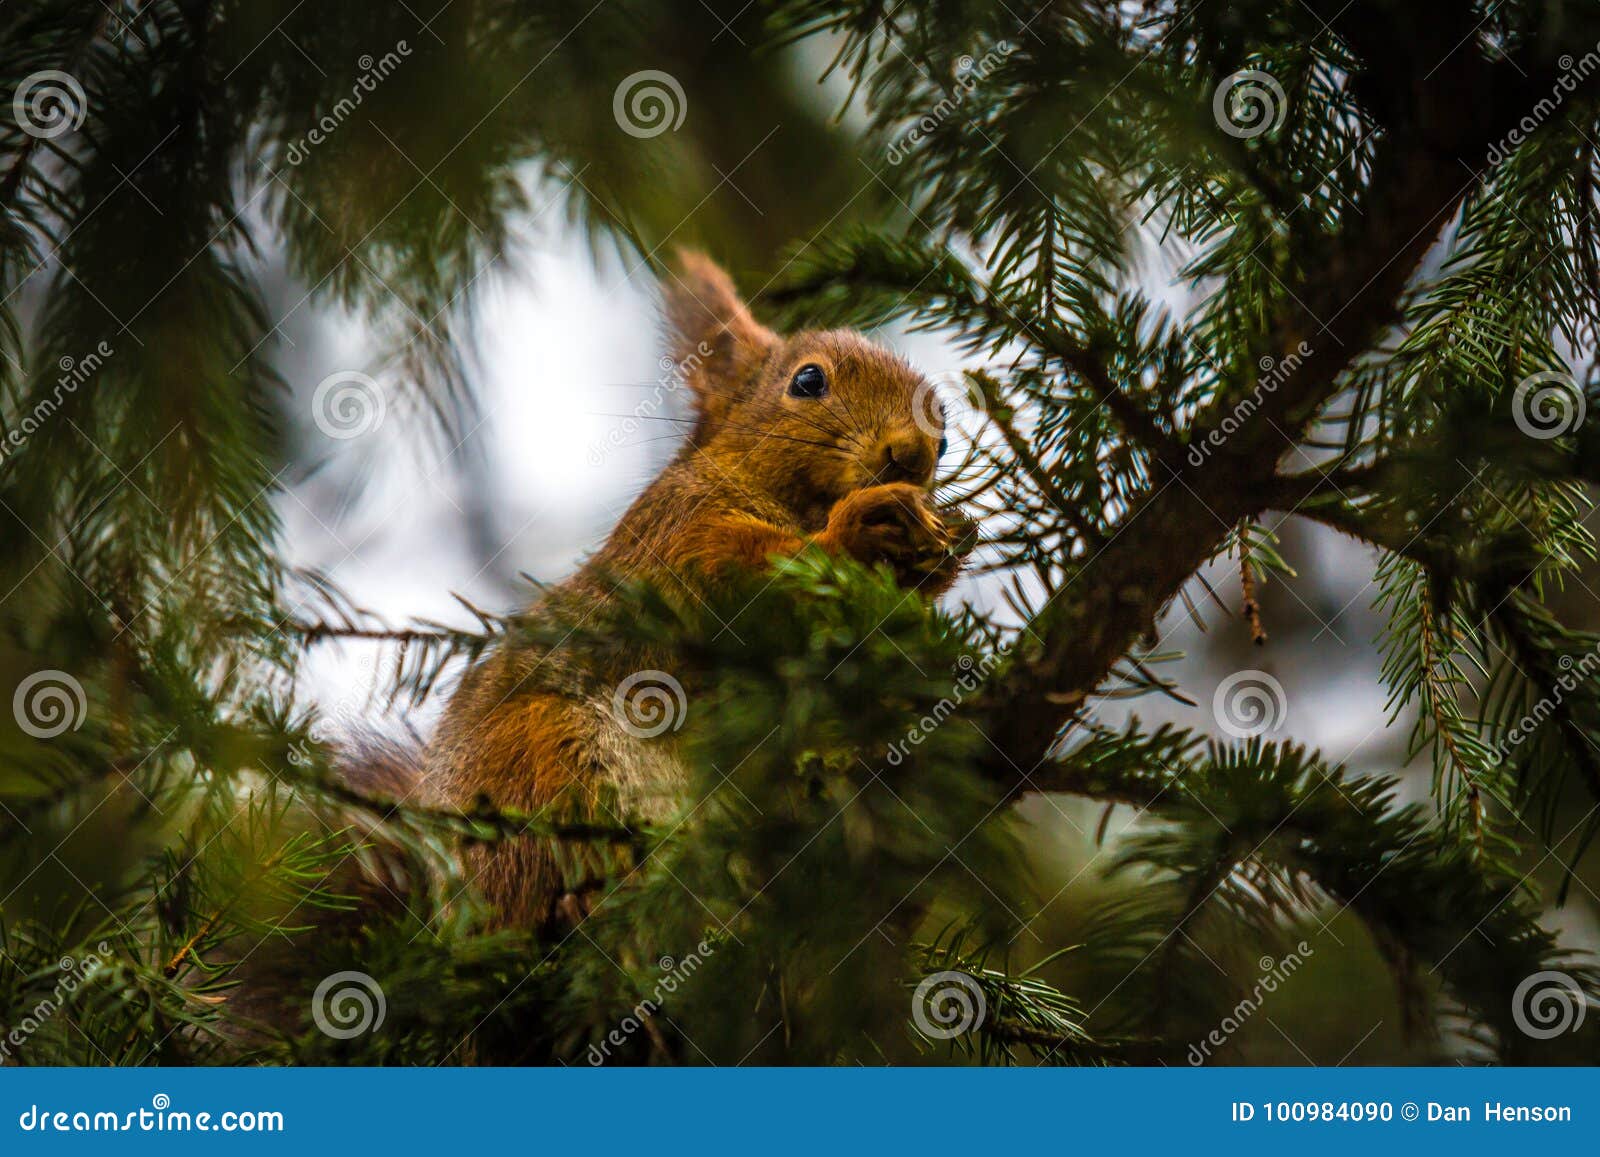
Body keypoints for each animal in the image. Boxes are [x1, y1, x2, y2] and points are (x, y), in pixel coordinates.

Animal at [423, 252, 975, 930]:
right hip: (534, 756)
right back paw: (583, 899)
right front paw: (859, 529)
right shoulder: (676, 536)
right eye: (808, 380)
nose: (915, 453)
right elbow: (735, 572)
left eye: (946, 435)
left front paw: (944, 550)